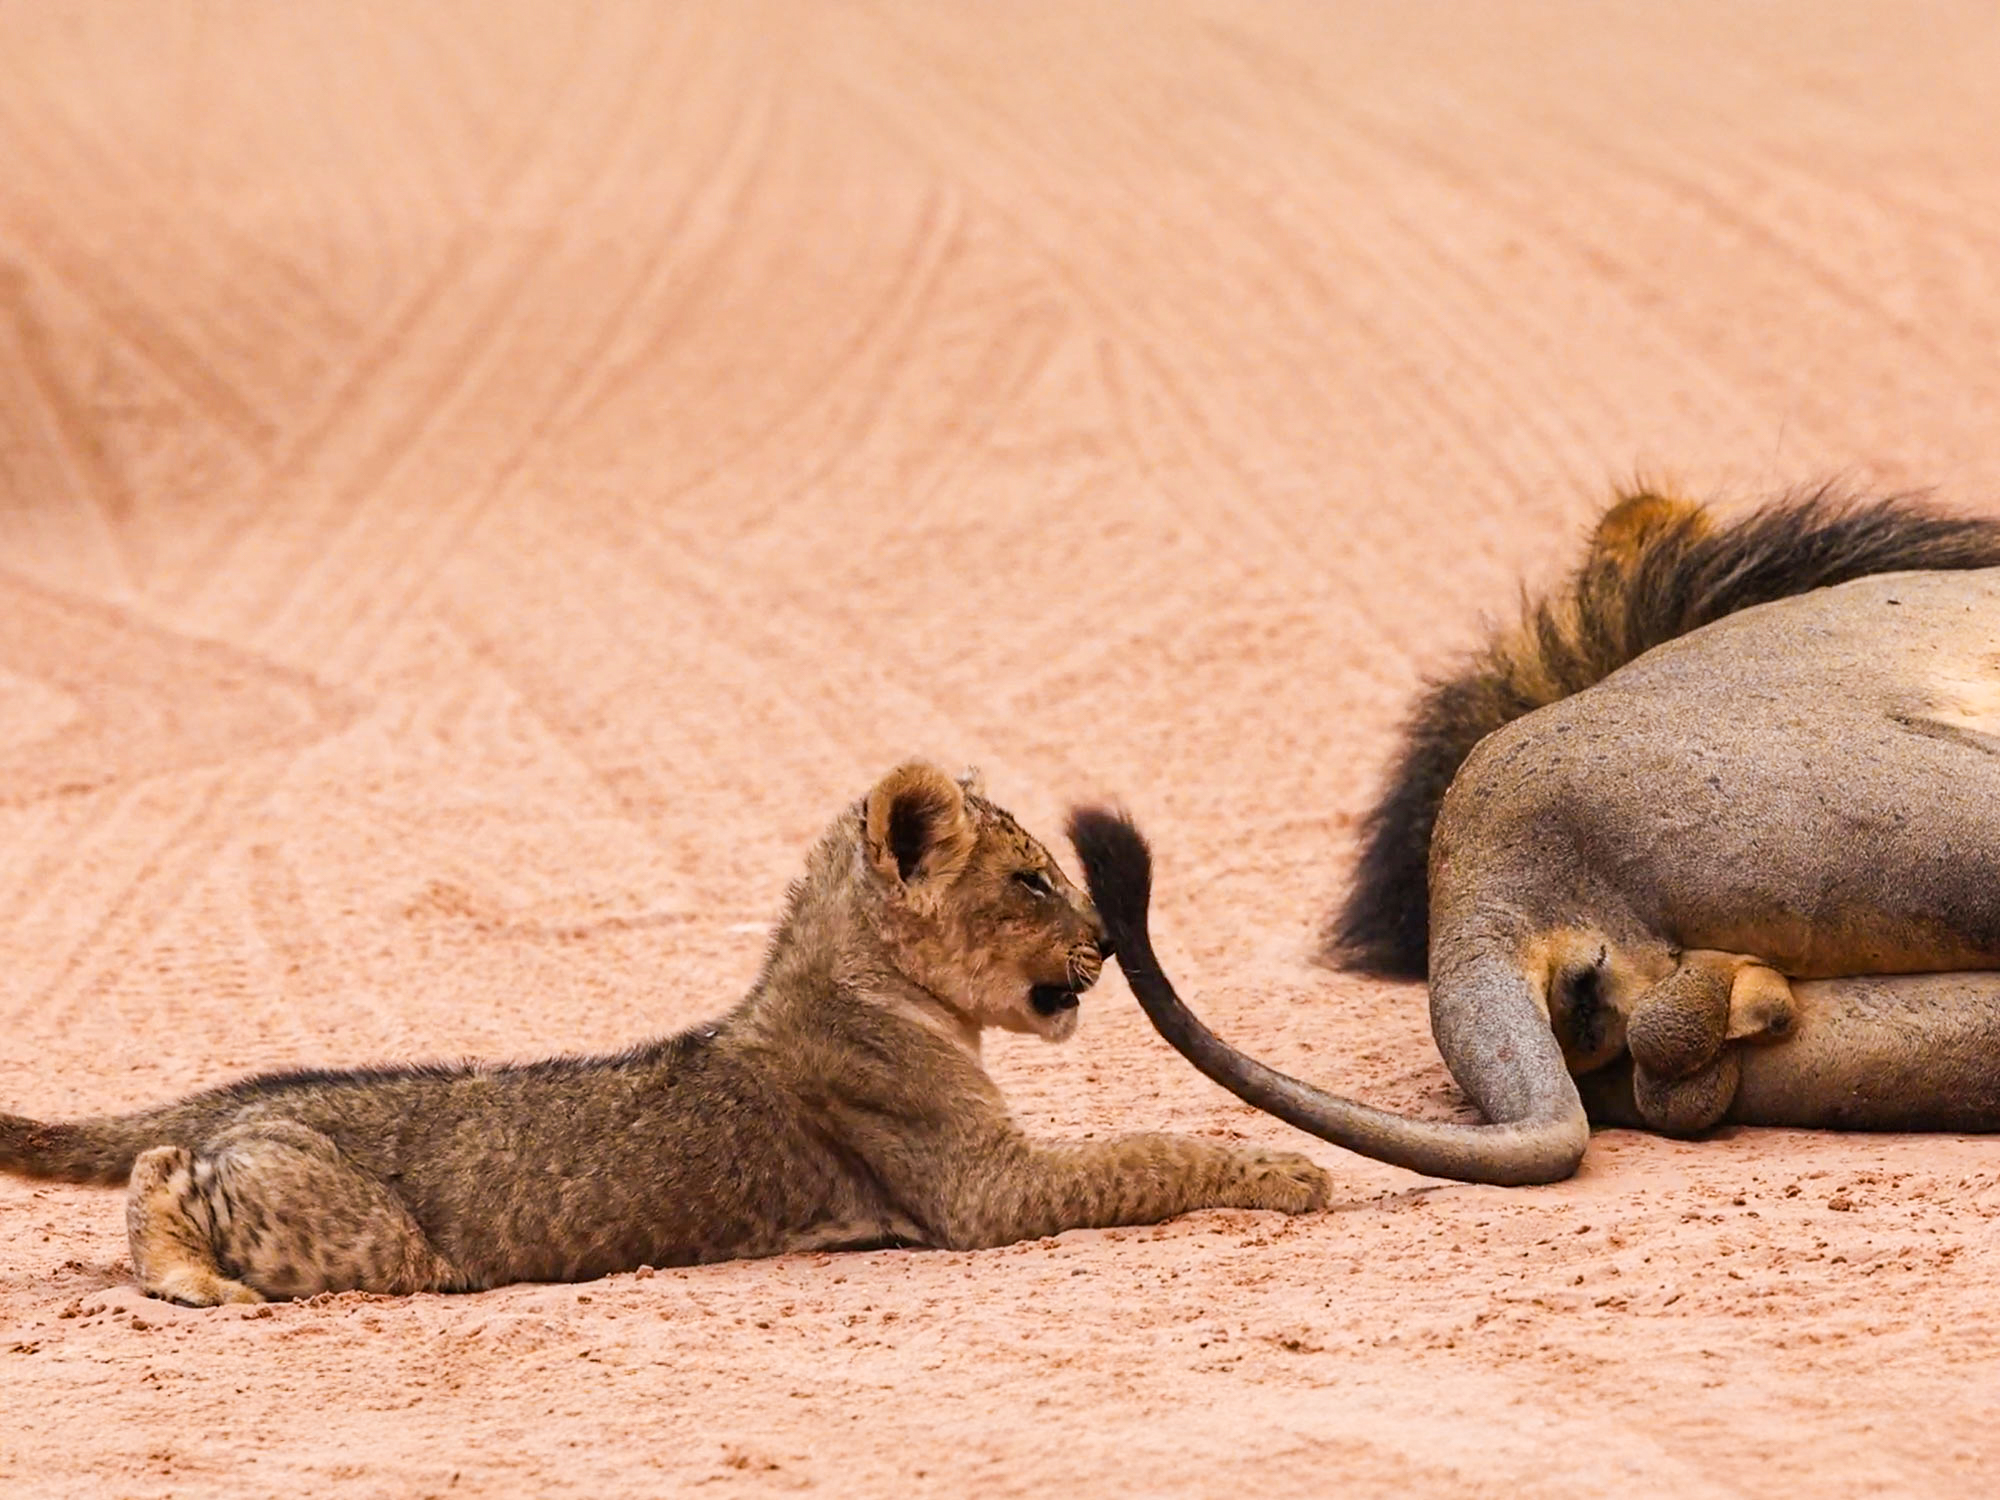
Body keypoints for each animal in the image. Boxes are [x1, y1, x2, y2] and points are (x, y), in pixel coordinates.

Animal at [1, 762, 1329, 1304]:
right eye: (1030, 881)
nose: (1107, 942)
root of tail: (246, 1096)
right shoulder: (980, 1195)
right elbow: (1148, 1155)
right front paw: (1290, 1170)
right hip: (360, 1244)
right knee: (157, 1170)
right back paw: (187, 1281)